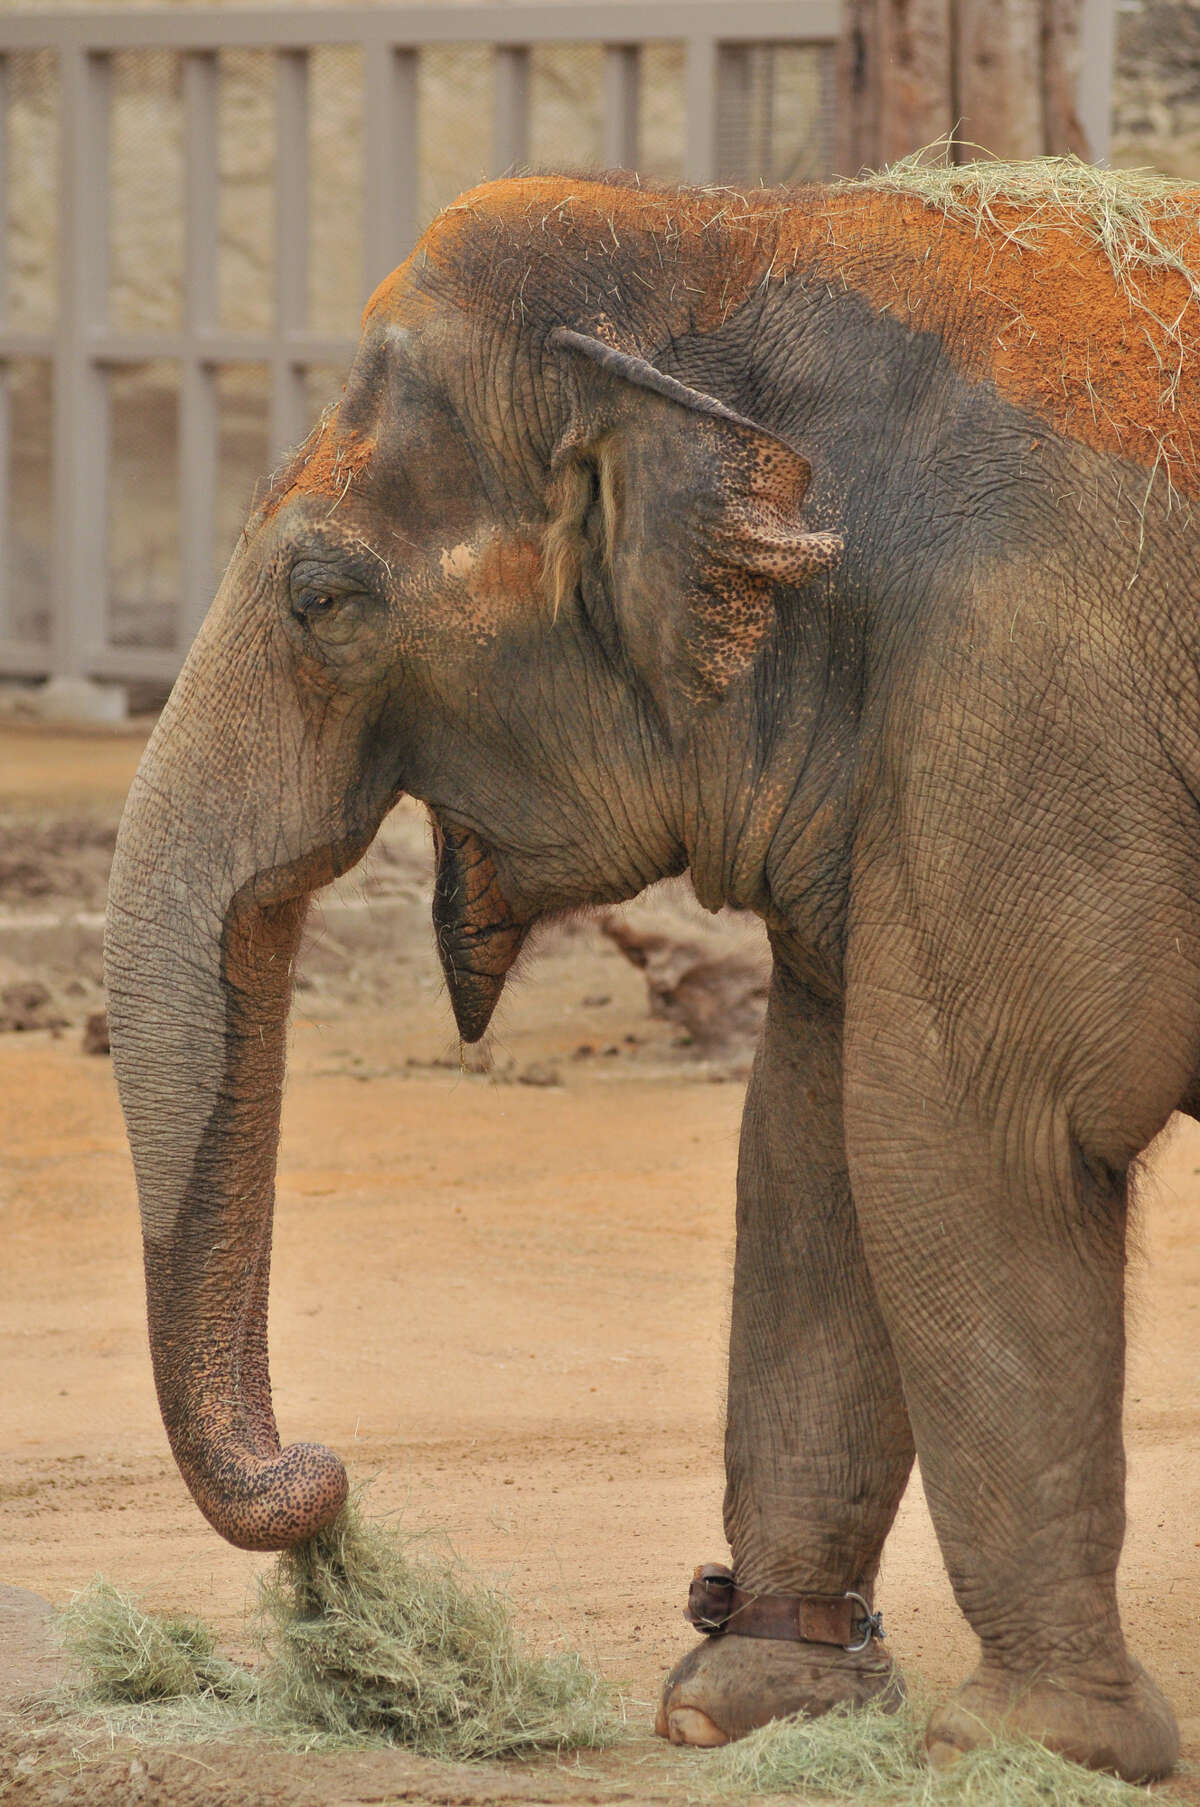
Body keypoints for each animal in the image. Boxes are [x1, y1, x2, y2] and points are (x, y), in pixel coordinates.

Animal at [105, 167, 1200, 1784]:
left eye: (320, 597)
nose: (322, 1477)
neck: (735, 234)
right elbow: (811, 1141)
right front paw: (745, 1703)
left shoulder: (1034, 681)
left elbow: (979, 1138)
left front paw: (1031, 1745)